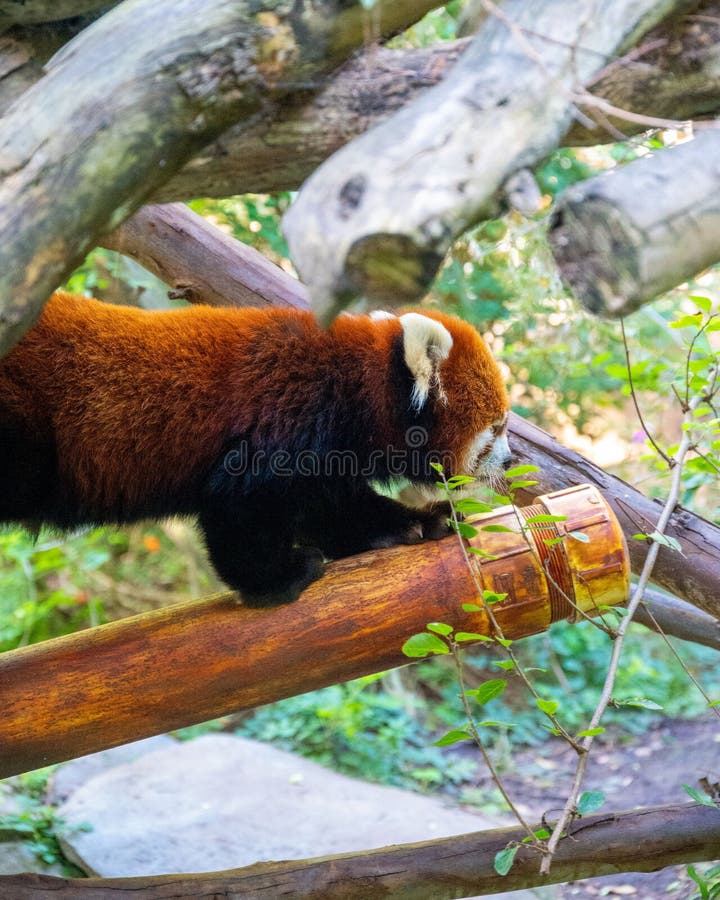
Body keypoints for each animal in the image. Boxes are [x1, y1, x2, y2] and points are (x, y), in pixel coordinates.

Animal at [0, 292, 512, 606]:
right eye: (497, 427)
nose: (512, 461)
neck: (357, 389)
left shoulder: (325, 460)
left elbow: (334, 507)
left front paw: (421, 522)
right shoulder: (287, 418)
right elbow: (241, 506)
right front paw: (277, 579)